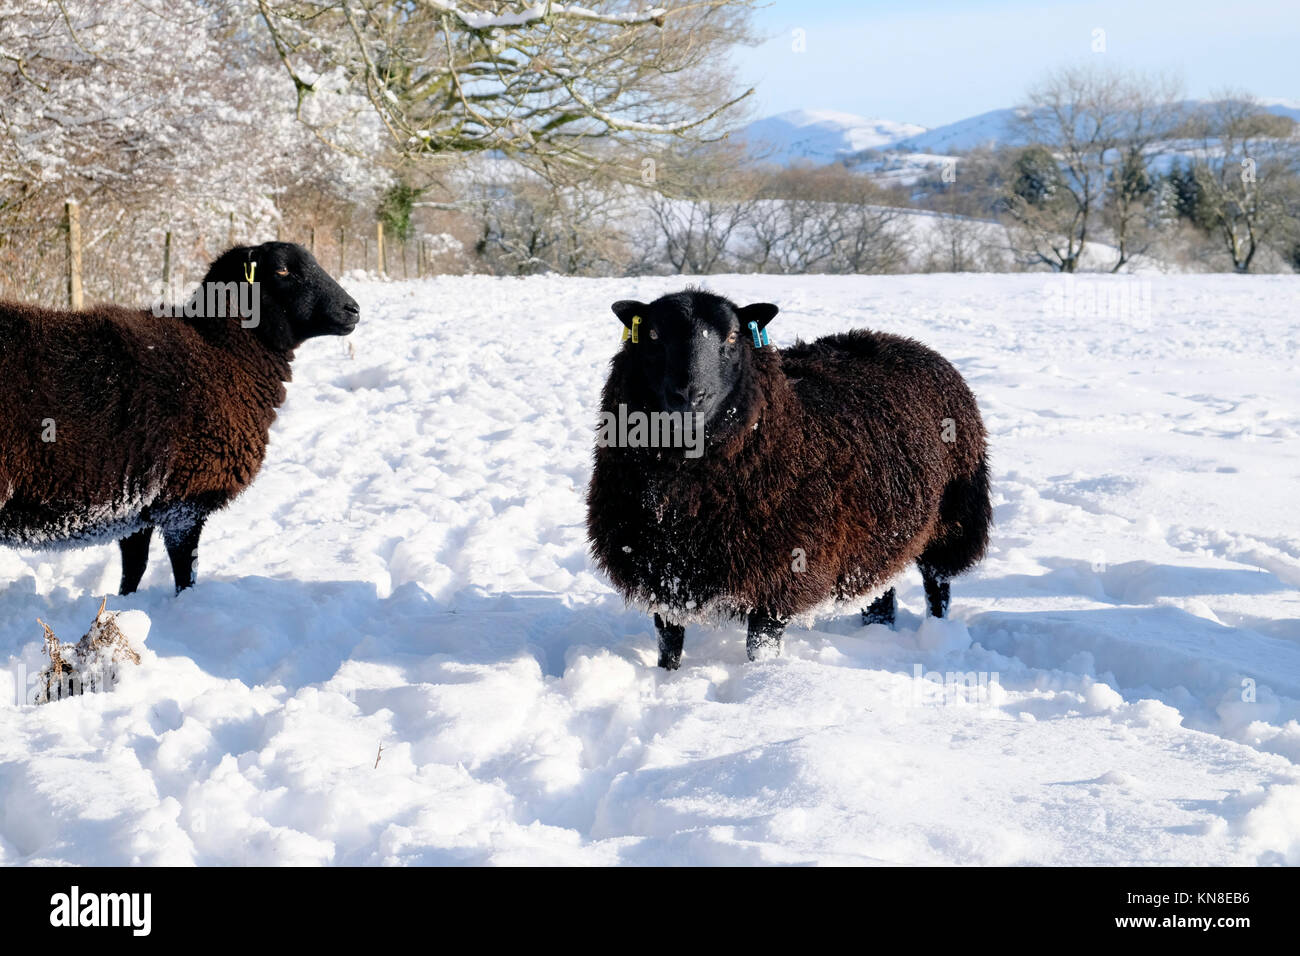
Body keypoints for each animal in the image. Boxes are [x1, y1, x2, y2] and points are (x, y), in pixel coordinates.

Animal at [0, 241, 359, 594]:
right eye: (282, 269)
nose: (353, 309)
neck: (224, 352)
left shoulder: (134, 507)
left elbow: (134, 569)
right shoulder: (184, 500)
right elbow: (185, 570)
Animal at [586, 288, 991, 669]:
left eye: (732, 337)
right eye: (653, 335)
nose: (690, 396)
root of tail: (905, 341)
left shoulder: (780, 579)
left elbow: (759, 648)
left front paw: (765, 682)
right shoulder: (661, 572)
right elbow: (668, 645)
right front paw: (667, 680)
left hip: (952, 522)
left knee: (937, 585)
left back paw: (938, 633)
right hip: (879, 533)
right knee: (881, 593)